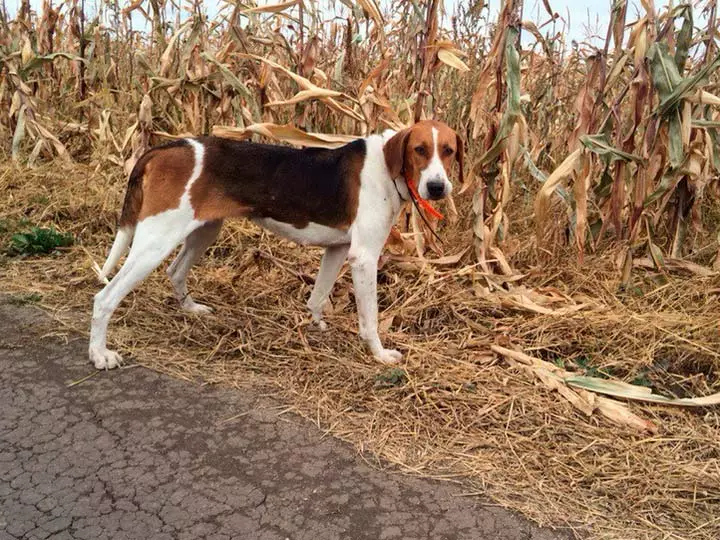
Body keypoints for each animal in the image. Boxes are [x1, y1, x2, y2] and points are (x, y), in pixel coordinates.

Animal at [87, 119, 464, 370]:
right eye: (419, 150)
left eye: (449, 151)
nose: (437, 188)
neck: (388, 166)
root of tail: (164, 148)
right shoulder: (364, 258)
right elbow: (369, 318)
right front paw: (380, 354)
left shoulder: (338, 250)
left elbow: (317, 296)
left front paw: (315, 327)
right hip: (156, 240)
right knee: (105, 298)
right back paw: (99, 353)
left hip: (204, 229)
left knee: (176, 271)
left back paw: (191, 309)